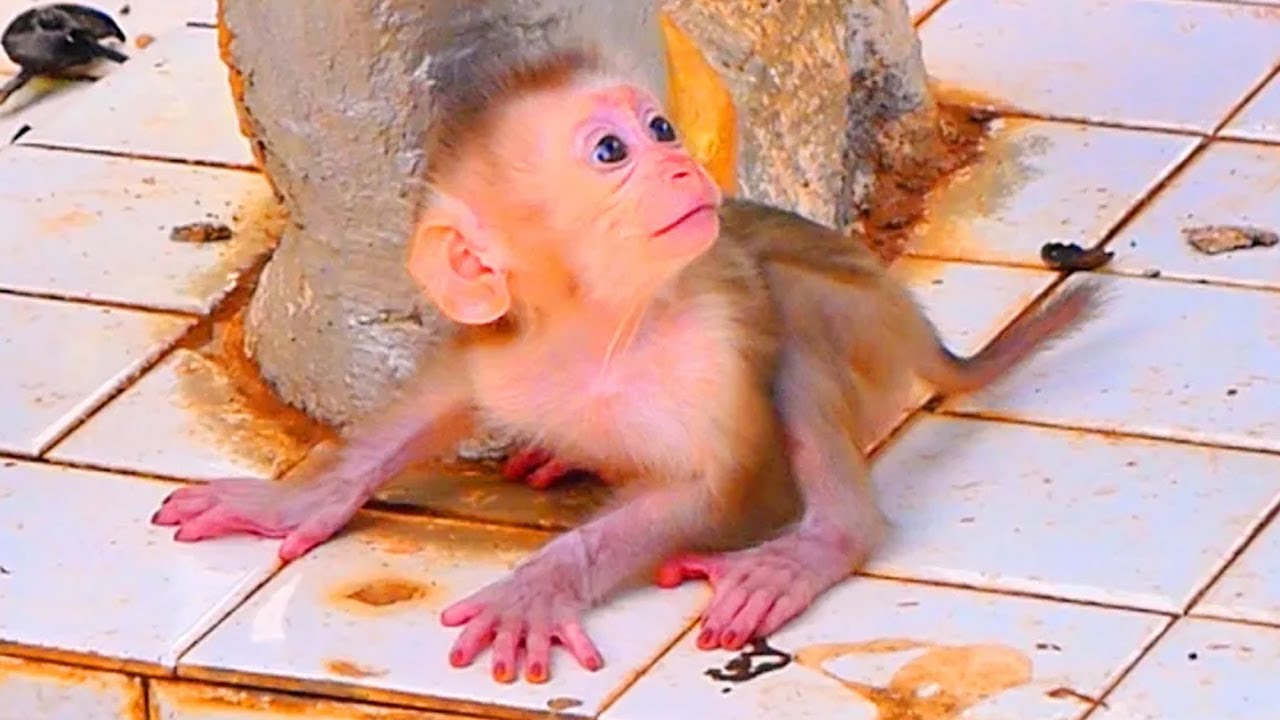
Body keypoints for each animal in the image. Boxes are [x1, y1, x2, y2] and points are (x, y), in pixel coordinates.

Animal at [150, 44, 1101, 685]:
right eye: (612, 152)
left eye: (660, 128)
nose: (680, 165)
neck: (602, 326)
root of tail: (916, 328)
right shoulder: (503, 344)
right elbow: (423, 412)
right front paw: (298, 500)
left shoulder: (707, 344)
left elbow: (708, 489)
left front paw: (541, 585)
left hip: (868, 328)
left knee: (795, 317)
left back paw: (818, 545)